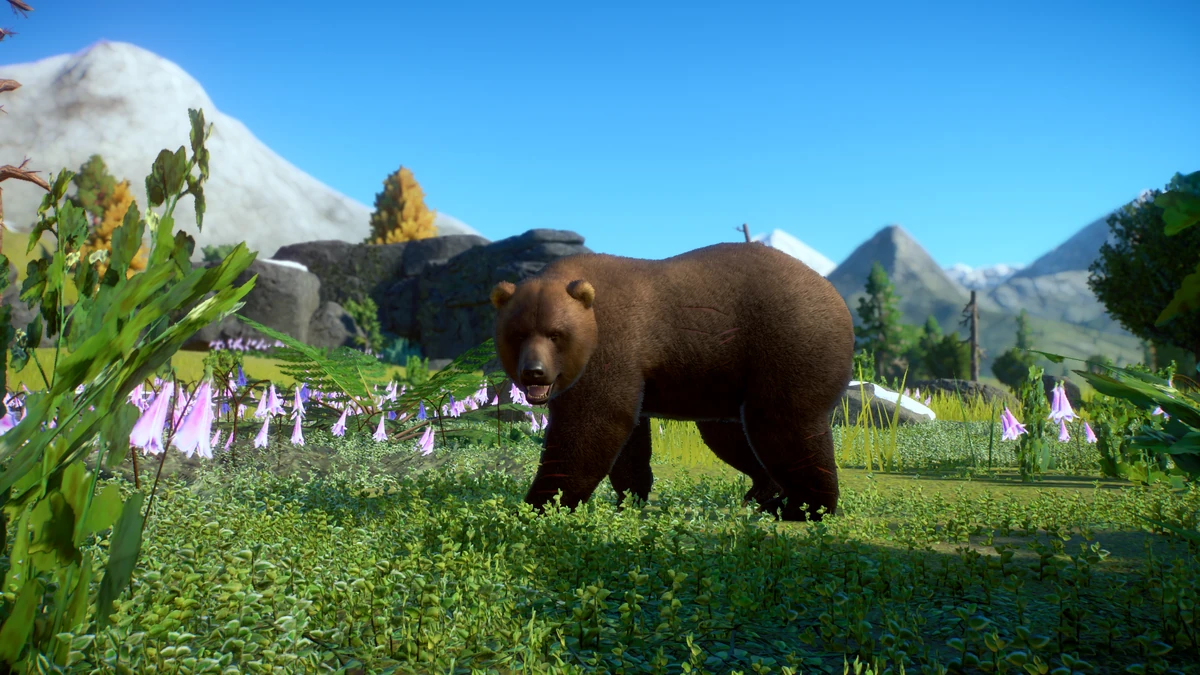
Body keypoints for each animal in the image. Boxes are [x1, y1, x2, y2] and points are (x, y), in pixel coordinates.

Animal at [489, 241, 855, 521]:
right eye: (517, 334)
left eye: (555, 334)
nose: (534, 372)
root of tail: (834, 294)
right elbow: (629, 437)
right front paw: (629, 498)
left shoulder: (611, 344)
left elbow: (590, 426)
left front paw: (537, 504)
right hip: (723, 379)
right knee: (732, 436)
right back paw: (762, 493)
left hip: (790, 344)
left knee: (784, 425)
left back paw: (800, 507)